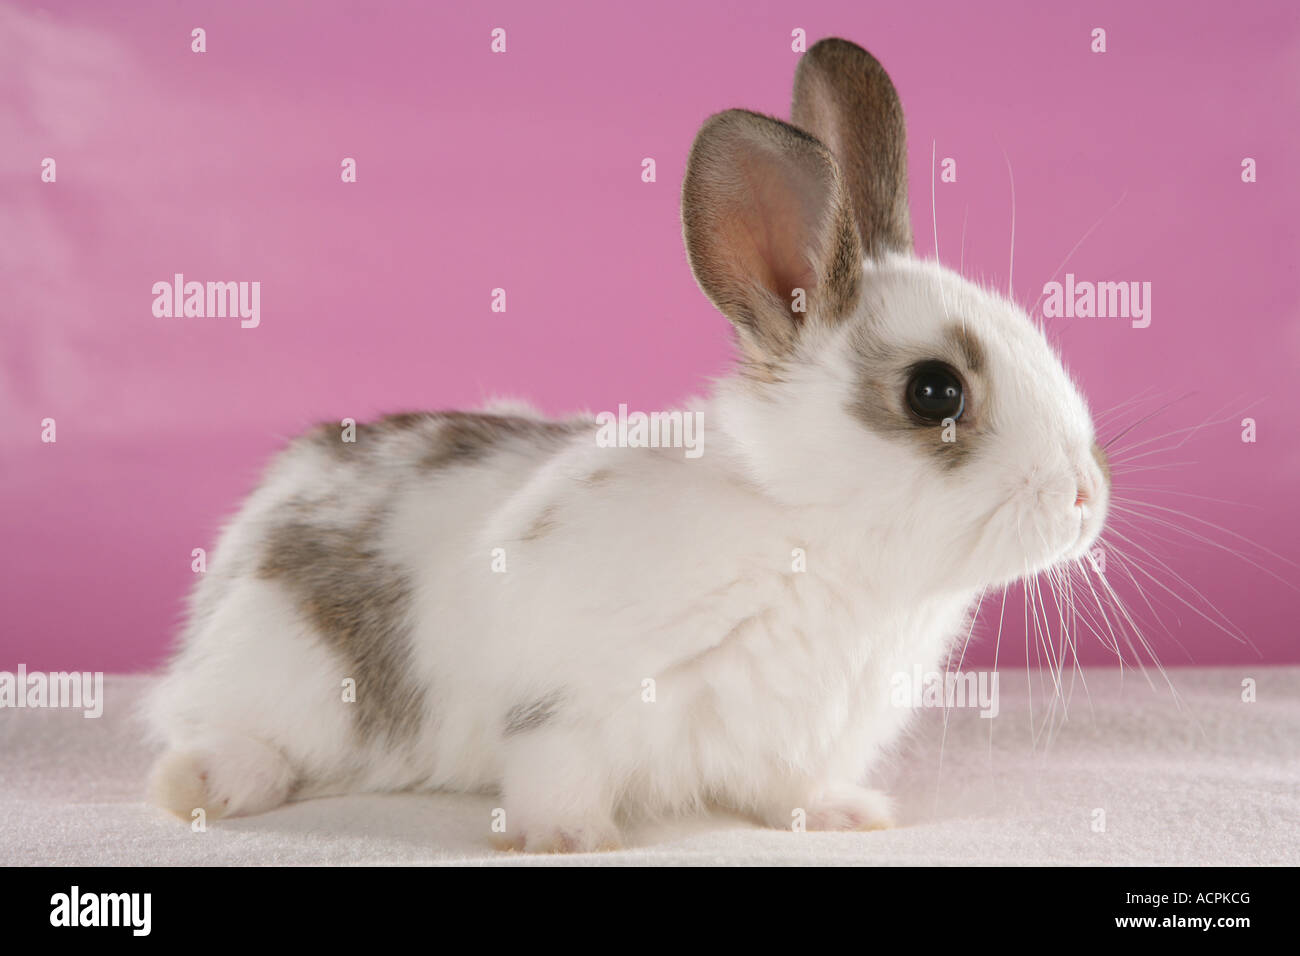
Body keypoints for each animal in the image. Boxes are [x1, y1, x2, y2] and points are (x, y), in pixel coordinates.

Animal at [145, 37, 1110, 852]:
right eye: (934, 391)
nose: (1085, 499)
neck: (810, 537)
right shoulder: (566, 701)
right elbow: (555, 771)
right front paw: (569, 840)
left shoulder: (797, 737)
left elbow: (792, 789)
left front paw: (846, 816)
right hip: (280, 669)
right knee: (209, 724)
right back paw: (205, 783)